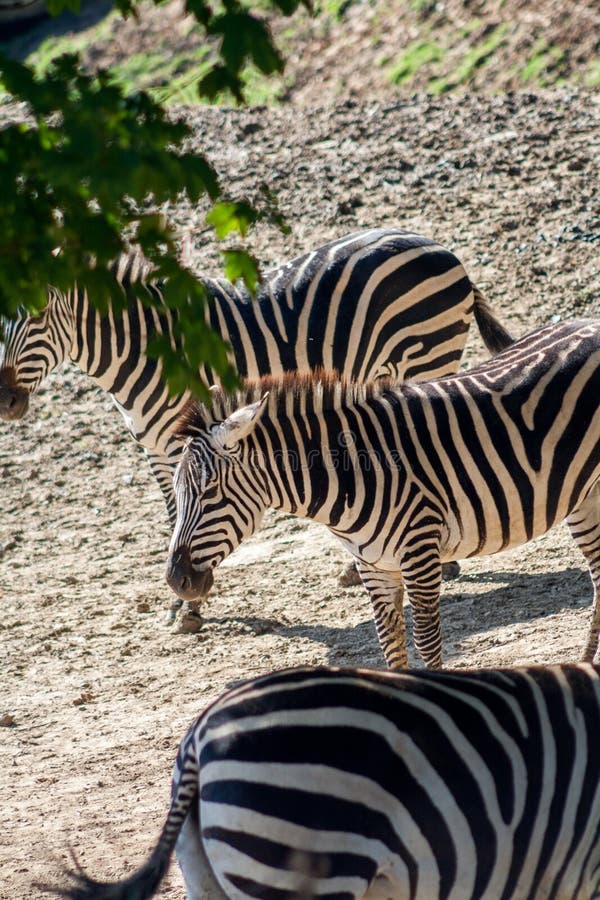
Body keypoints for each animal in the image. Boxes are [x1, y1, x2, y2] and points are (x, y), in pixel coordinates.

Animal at [166, 318, 600, 669]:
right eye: (178, 493)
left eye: (209, 491)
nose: (175, 581)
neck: (352, 472)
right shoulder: (373, 566)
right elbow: (391, 646)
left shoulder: (420, 552)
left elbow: (426, 644)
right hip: (584, 499)